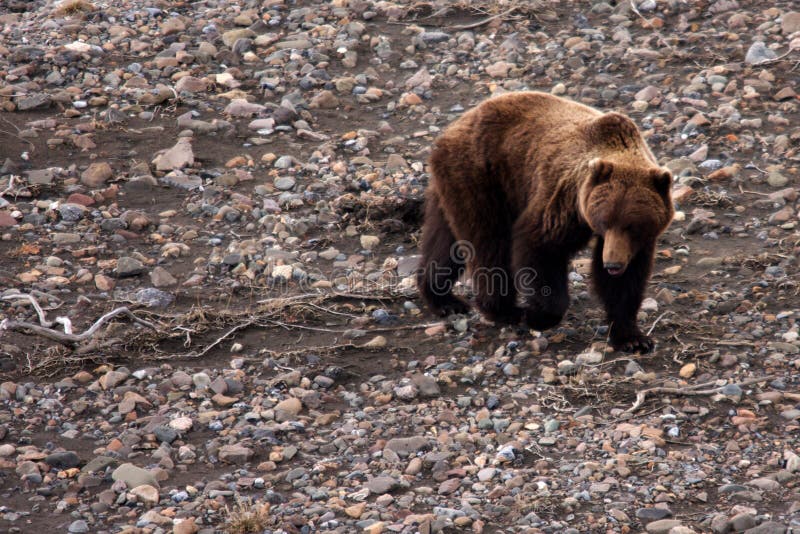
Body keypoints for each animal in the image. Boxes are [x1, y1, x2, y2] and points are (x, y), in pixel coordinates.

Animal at [416, 91, 674, 353]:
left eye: (632, 226)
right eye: (606, 221)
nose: (612, 264)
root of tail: (451, 129)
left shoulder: (632, 242)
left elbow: (626, 281)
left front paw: (633, 338)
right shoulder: (563, 201)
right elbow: (539, 248)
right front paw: (538, 316)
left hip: (451, 188)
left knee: (444, 242)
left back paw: (443, 298)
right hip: (481, 177)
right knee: (489, 243)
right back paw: (505, 310)